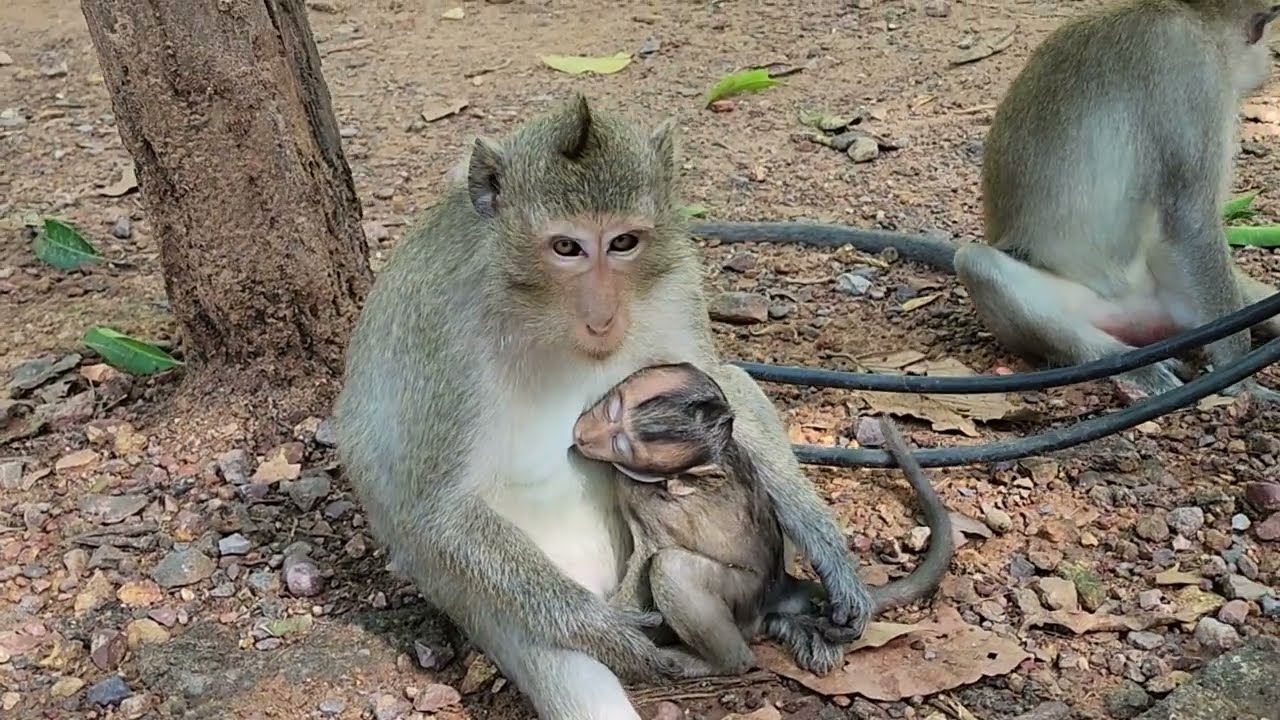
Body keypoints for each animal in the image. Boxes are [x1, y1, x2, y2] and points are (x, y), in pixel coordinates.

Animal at [334, 95, 887, 720]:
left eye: (623, 243)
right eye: (566, 248)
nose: (602, 315)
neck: (536, 306)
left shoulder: (674, 276)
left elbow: (721, 383)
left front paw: (831, 553)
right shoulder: (442, 330)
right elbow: (435, 508)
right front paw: (611, 634)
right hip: (475, 599)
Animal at [572, 362, 955, 678]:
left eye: (622, 444)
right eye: (611, 408)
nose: (583, 435)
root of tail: (780, 587)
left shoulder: (644, 495)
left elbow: (649, 554)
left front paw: (620, 624)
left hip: (743, 599)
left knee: (672, 568)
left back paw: (719, 662)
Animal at [689, 0, 1280, 405]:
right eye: (1267, 28)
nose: (1269, 64)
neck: (1186, 16)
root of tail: (1156, 317)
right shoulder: (1189, 76)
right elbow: (1190, 219)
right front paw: (1241, 381)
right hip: (1109, 310)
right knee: (979, 263)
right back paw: (1123, 364)